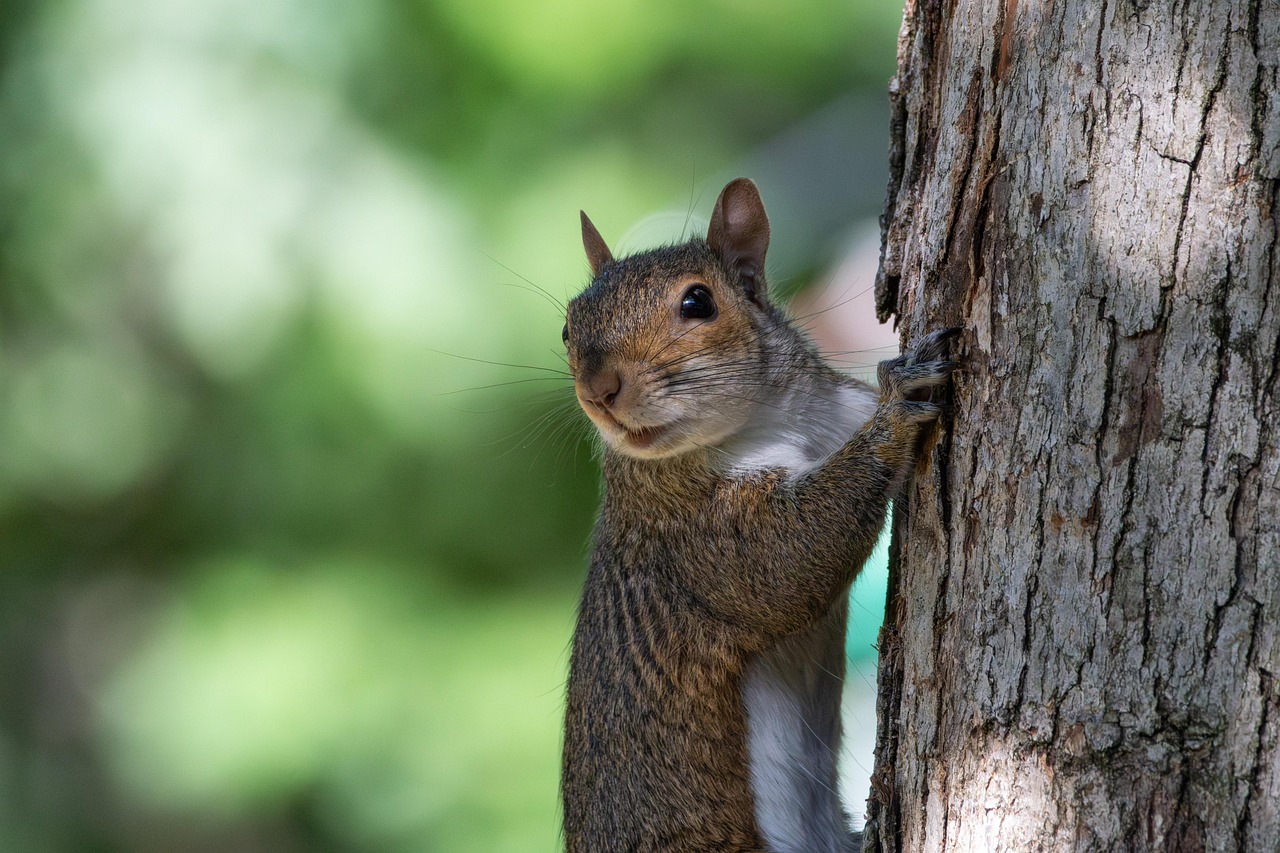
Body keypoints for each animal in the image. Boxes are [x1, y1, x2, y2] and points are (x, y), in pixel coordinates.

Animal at [559, 177, 958, 853]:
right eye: (568, 329)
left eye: (697, 302)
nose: (599, 389)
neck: (784, 417)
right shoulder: (694, 540)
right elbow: (788, 558)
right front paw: (897, 413)